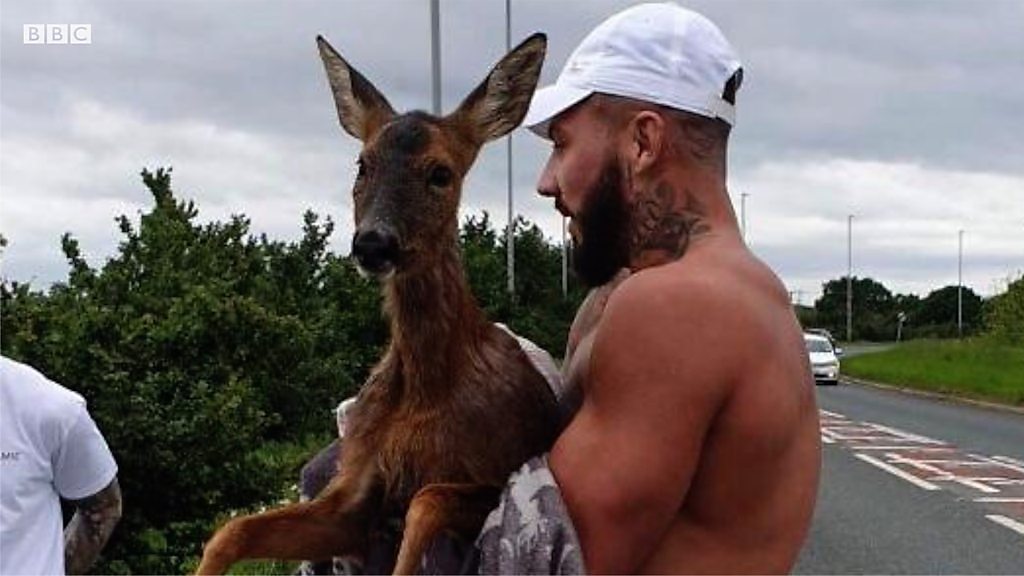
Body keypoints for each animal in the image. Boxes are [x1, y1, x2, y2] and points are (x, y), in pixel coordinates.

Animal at [196, 32, 563, 575]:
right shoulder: (357, 486)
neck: (425, 391)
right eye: (362, 164)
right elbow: (231, 530)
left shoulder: (494, 468)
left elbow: (425, 502)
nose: (373, 244)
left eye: (441, 172)